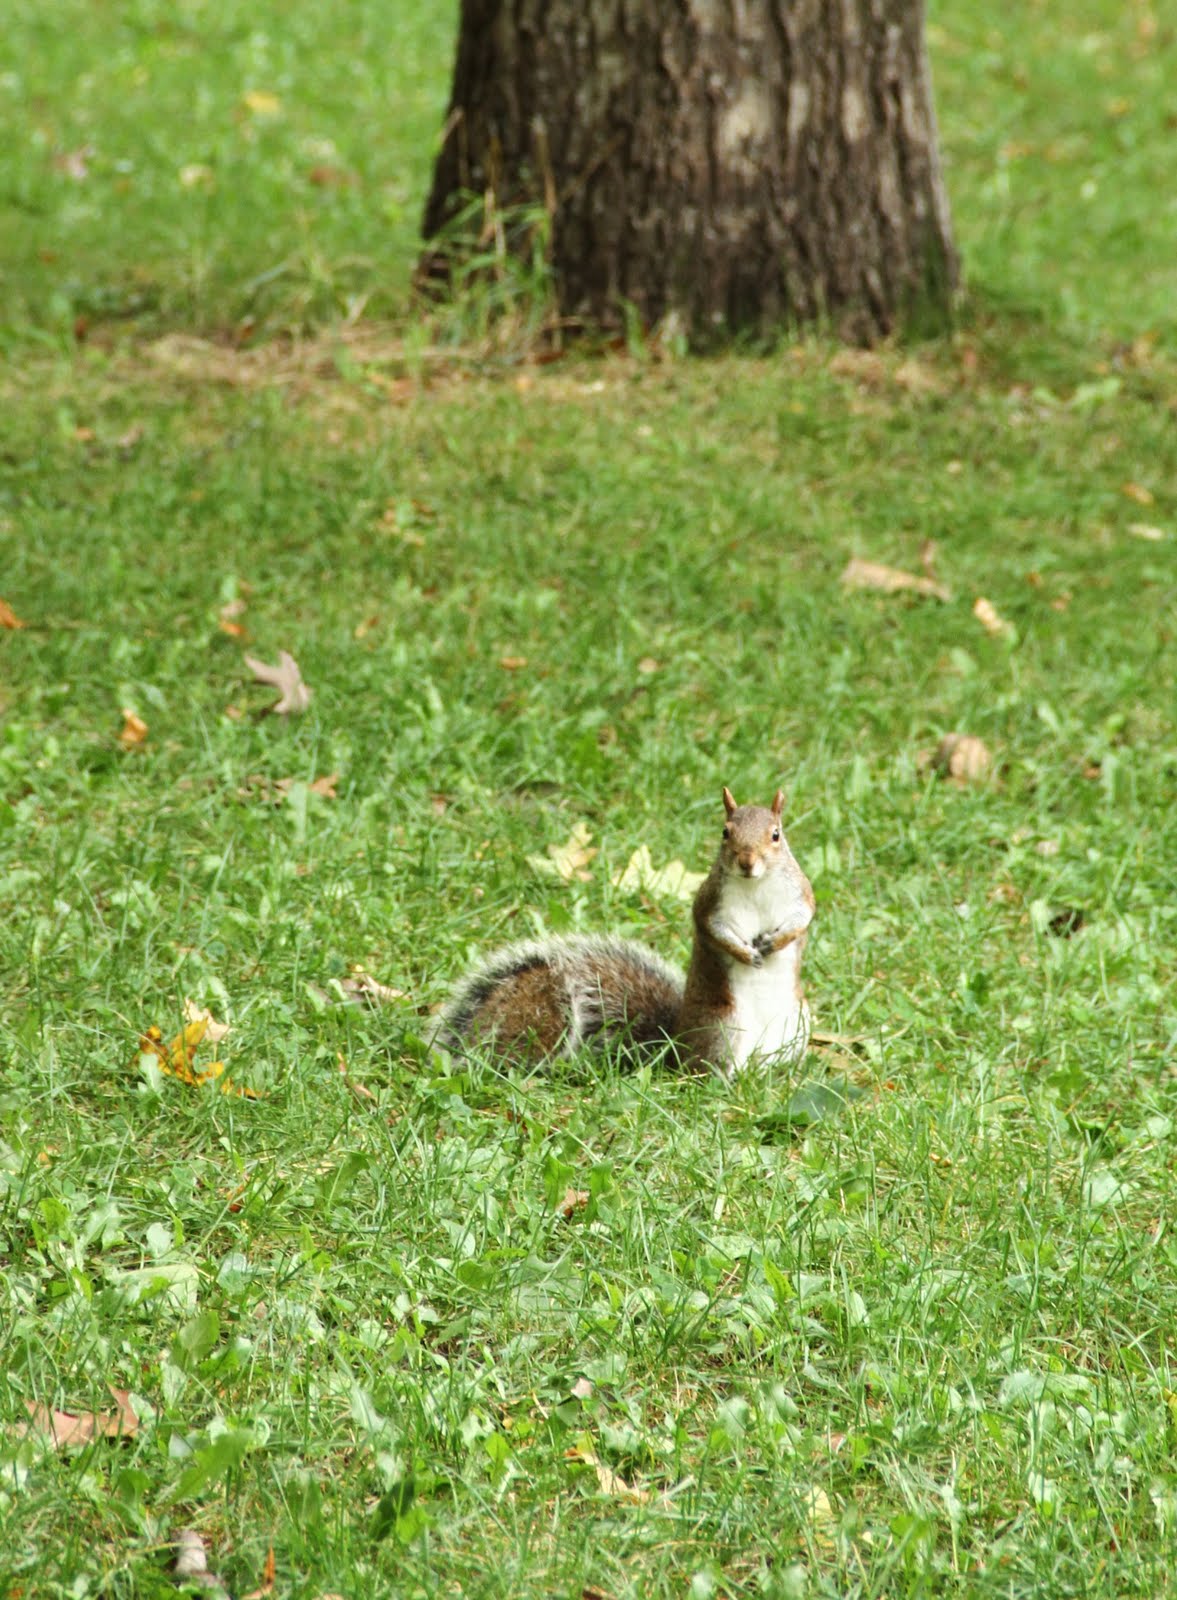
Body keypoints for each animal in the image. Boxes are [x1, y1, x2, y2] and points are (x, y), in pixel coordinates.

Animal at [435, 787, 815, 1078]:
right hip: (724, 1028)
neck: (755, 885)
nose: (747, 862)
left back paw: (780, 1077)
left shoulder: (801, 894)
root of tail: (674, 1045)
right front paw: (745, 952)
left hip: (799, 1025)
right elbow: (716, 930)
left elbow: (803, 919)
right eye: (725, 832)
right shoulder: (710, 903)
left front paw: (776, 941)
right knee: (707, 1071)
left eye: (776, 835)